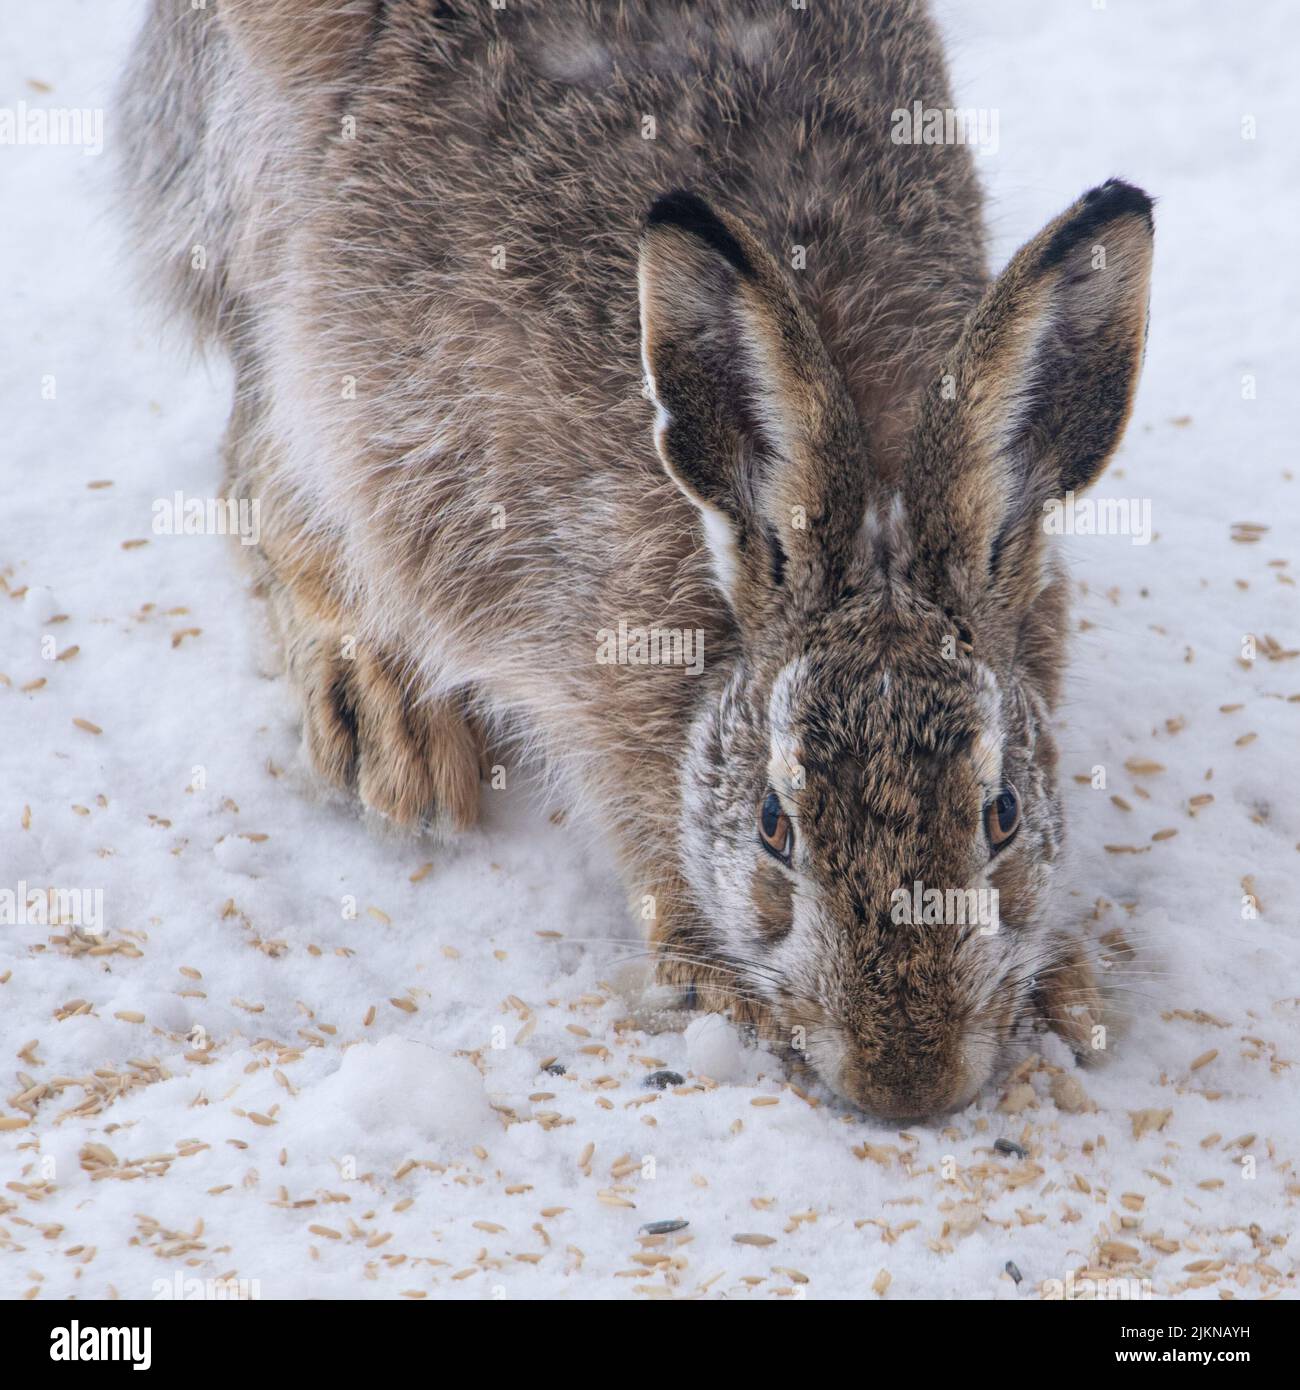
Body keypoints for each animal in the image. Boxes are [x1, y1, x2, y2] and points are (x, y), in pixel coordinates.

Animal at [119, 0, 1153, 1120]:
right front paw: (710, 974)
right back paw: (386, 721)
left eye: (1001, 817)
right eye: (775, 827)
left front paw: (1062, 987)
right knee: (260, 444)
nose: (903, 1082)